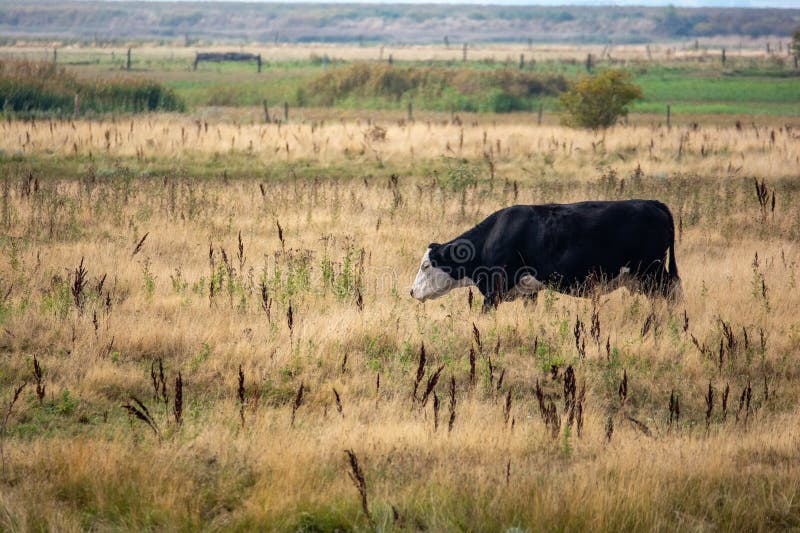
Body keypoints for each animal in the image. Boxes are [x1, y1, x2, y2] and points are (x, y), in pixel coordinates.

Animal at [409, 199, 680, 312]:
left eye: (425, 266)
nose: (411, 292)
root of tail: (653, 203)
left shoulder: (493, 291)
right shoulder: (529, 292)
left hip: (652, 272)